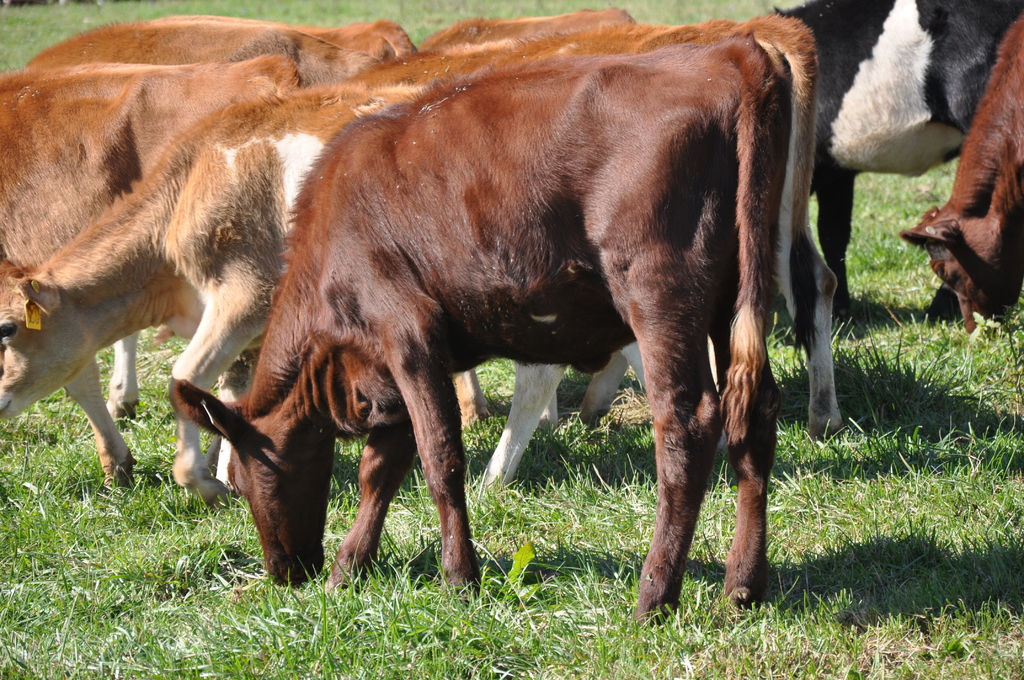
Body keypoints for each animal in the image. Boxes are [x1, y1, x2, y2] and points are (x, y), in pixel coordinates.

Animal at [171, 40, 793, 619]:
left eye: (244, 480)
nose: (286, 571)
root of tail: (732, 54)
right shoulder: (395, 367)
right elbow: (381, 466)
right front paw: (351, 565)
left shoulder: (408, 331)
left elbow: (438, 457)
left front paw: (459, 576)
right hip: (738, 295)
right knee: (754, 413)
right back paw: (743, 586)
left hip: (660, 290)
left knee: (687, 424)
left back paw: (654, 595)